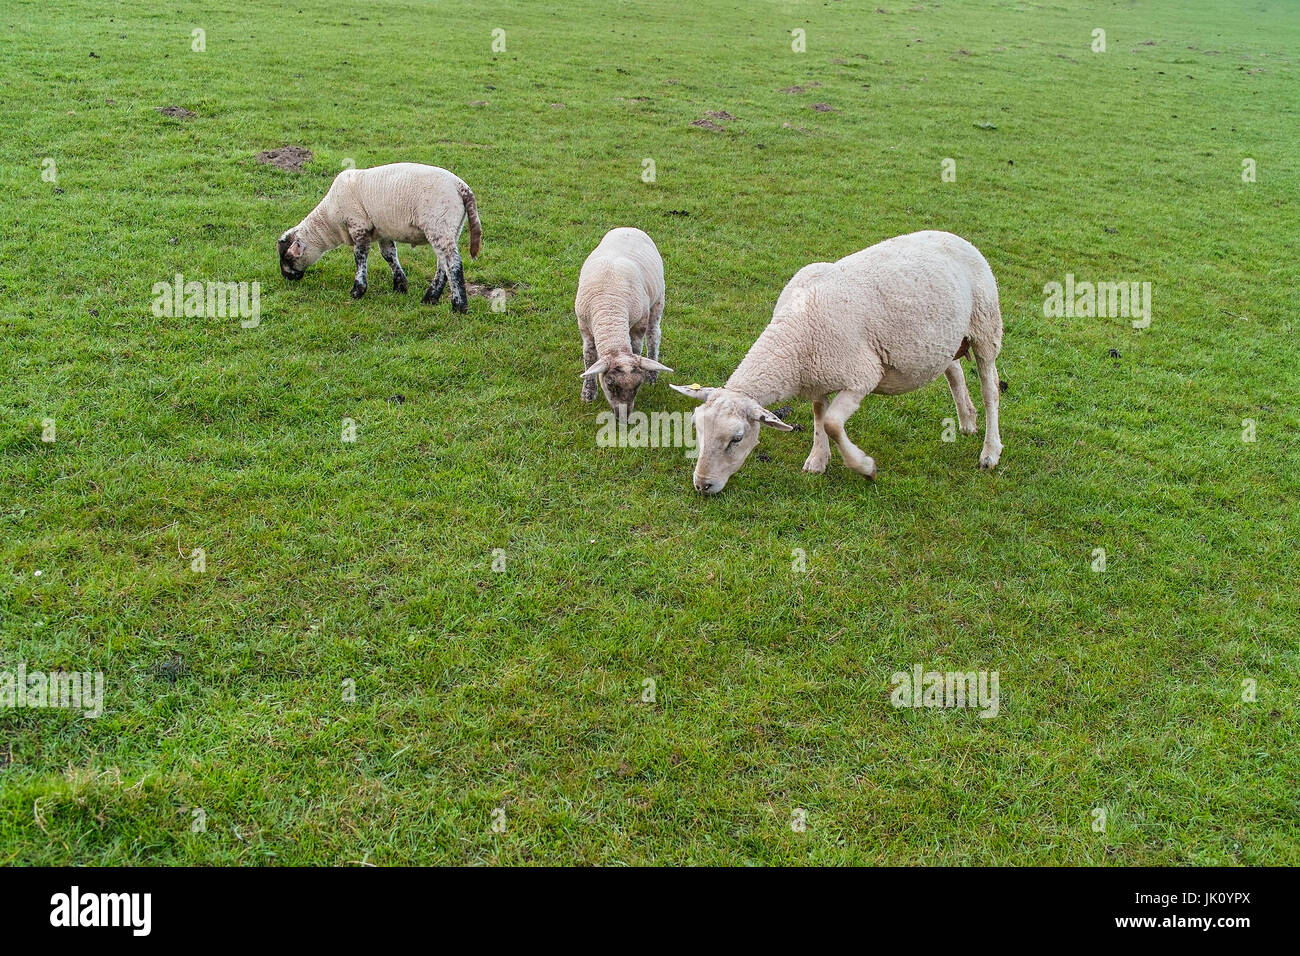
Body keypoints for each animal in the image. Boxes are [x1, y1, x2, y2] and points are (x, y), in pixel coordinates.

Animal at [277, 162, 481, 312]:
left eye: (288, 257)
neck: (329, 220)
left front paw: (357, 291)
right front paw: (400, 286)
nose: (286, 277)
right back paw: (430, 298)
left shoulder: (358, 226)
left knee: (453, 263)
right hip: (451, 228)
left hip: (439, 224)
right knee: (443, 264)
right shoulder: (383, 231)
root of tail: (462, 188)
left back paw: (459, 307)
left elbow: (360, 257)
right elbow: (389, 256)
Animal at [575, 227, 673, 418]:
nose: (623, 418)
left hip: (658, 299)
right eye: (610, 384)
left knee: (654, 334)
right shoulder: (584, 326)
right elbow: (589, 357)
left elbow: (636, 348)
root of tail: (629, 228)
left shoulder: (639, 323)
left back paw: (653, 374)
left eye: (638, 386)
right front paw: (588, 393)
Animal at [671, 230, 1004, 494]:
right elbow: (820, 415)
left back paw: (990, 451)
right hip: (943, 339)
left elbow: (831, 423)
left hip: (986, 326)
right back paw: (967, 421)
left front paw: (865, 467)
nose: (702, 485)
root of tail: (955, 236)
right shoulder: (818, 376)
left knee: (990, 391)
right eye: (696, 427)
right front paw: (818, 460)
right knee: (954, 371)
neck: (795, 337)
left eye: (737, 439)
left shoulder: (862, 377)